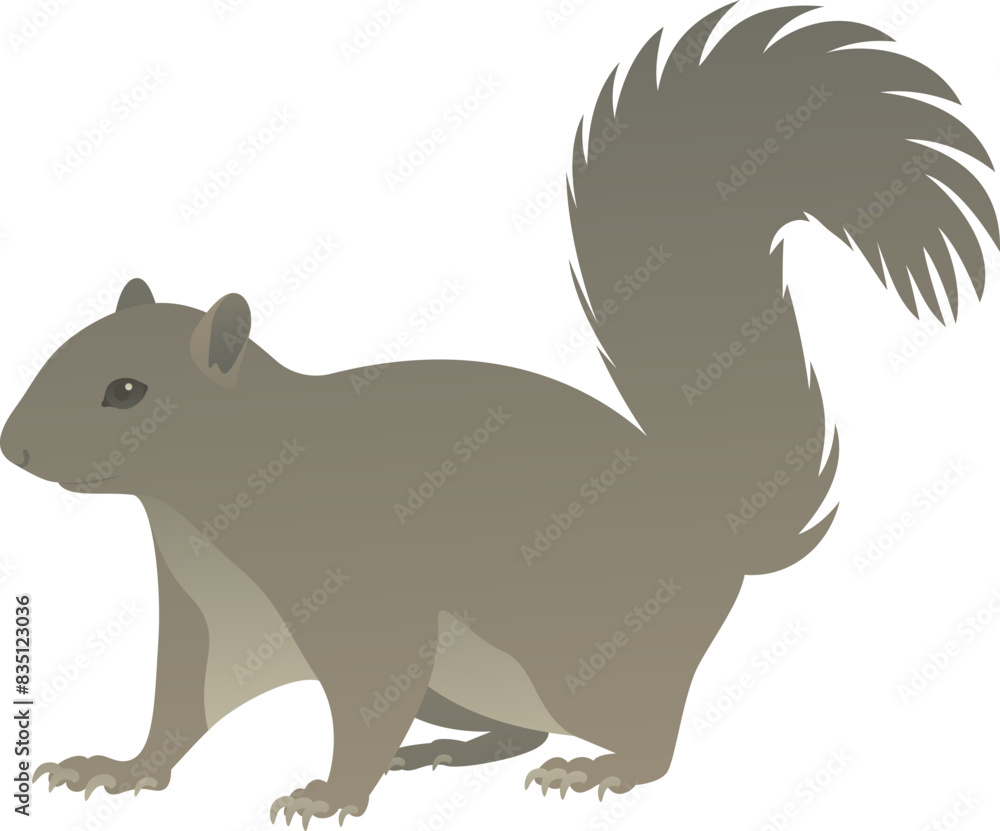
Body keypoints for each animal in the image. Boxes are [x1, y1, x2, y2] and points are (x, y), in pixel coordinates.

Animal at [3, 5, 997, 827]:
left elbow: (366, 694)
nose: (13, 444)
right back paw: (446, 750)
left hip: (586, 651)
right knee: (520, 728)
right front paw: (116, 768)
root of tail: (713, 520)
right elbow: (179, 712)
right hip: (481, 680)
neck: (206, 509)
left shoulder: (361, 591)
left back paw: (596, 768)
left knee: (651, 737)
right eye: (59, 348)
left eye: (127, 391)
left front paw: (328, 792)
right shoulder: (207, 621)